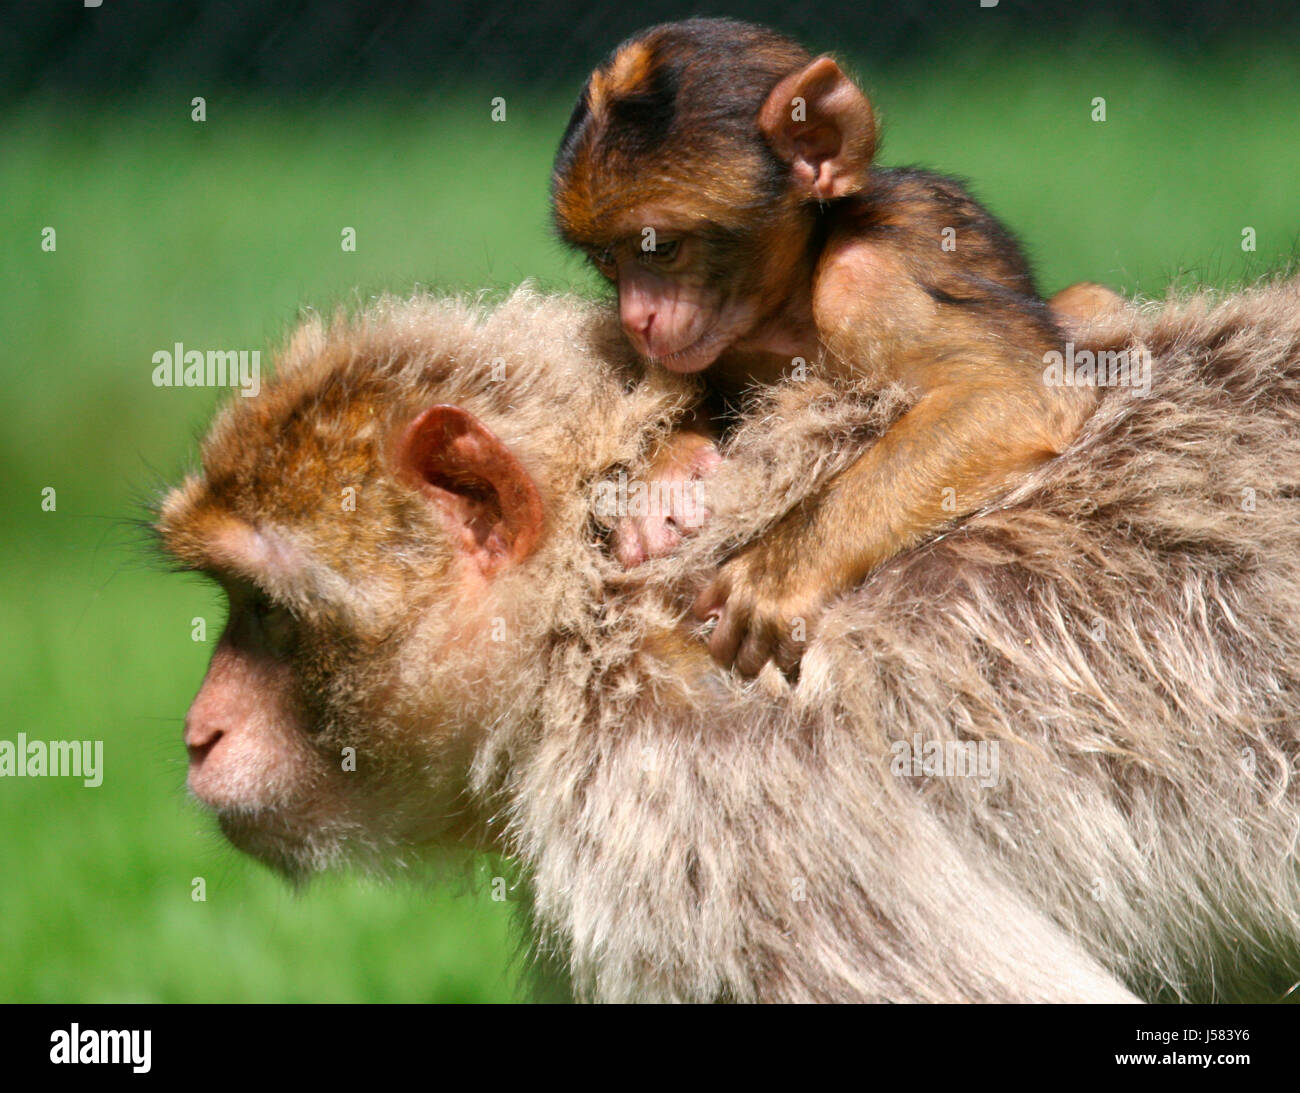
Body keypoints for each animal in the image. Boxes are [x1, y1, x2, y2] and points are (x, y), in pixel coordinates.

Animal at [551, 18, 1122, 678]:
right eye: (607, 259)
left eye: (661, 247)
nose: (636, 317)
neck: (789, 299)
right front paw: (666, 473)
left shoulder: (866, 282)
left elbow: (1020, 392)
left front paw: (778, 573)